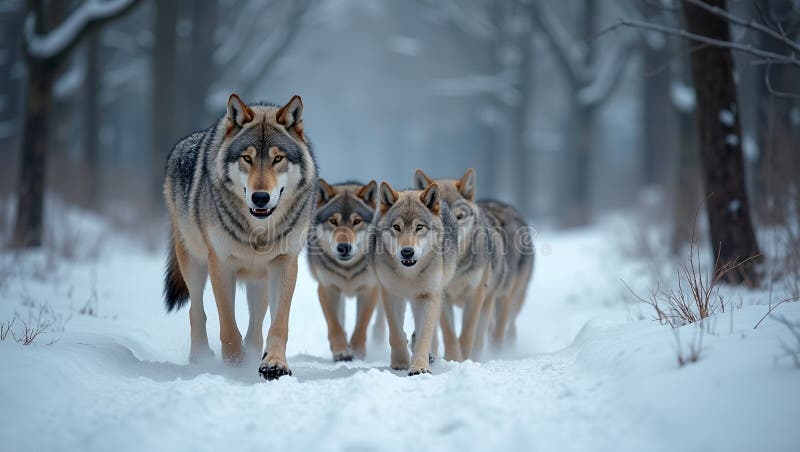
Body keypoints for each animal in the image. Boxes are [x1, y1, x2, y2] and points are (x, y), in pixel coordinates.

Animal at [162, 93, 317, 381]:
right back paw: (201, 356)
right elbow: (227, 325)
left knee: (256, 325)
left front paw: (274, 364)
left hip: (260, 280)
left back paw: (255, 356)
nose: (261, 197)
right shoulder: (221, 265)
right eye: (247, 158)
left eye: (277, 159)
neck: (257, 231)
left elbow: (278, 324)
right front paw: (233, 367)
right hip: (193, 262)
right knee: (196, 311)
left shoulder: (284, 263)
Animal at [307, 179, 380, 362]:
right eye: (333, 221)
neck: (348, 269)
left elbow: (361, 326)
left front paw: (357, 353)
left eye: (357, 221)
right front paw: (341, 351)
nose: (344, 247)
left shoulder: (369, 289)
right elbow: (335, 325)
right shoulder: (327, 289)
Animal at [368, 181, 458, 375]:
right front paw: (400, 363)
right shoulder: (391, 295)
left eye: (419, 227)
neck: (408, 276)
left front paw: (419, 368)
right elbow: (395, 334)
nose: (407, 252)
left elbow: (424, 336)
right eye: (396, 227)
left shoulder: (428, 296)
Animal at [413, 168, 508, 361]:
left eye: (459, 217)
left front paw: (465, 360)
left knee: (480, 336)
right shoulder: (440, 294)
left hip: (487, 303)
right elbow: (449, 334)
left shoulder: (475, 294)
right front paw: (453, 359)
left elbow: (467, 334)